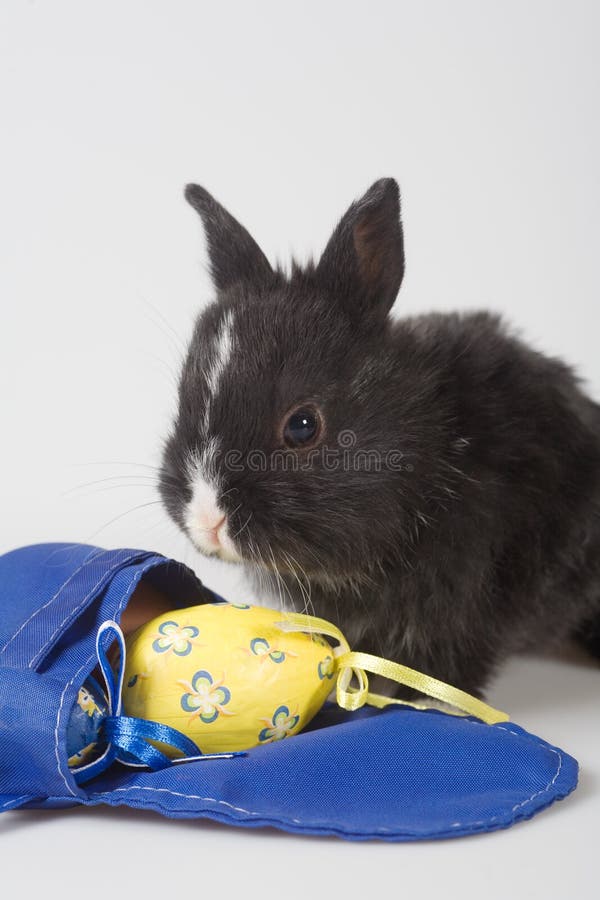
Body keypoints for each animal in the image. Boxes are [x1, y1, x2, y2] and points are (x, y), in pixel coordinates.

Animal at [159, 177, 600, 699]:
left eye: (303, 425)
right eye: (182, 400)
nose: (207, 520)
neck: (435, 451)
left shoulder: (470, 603)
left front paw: (414, 698)